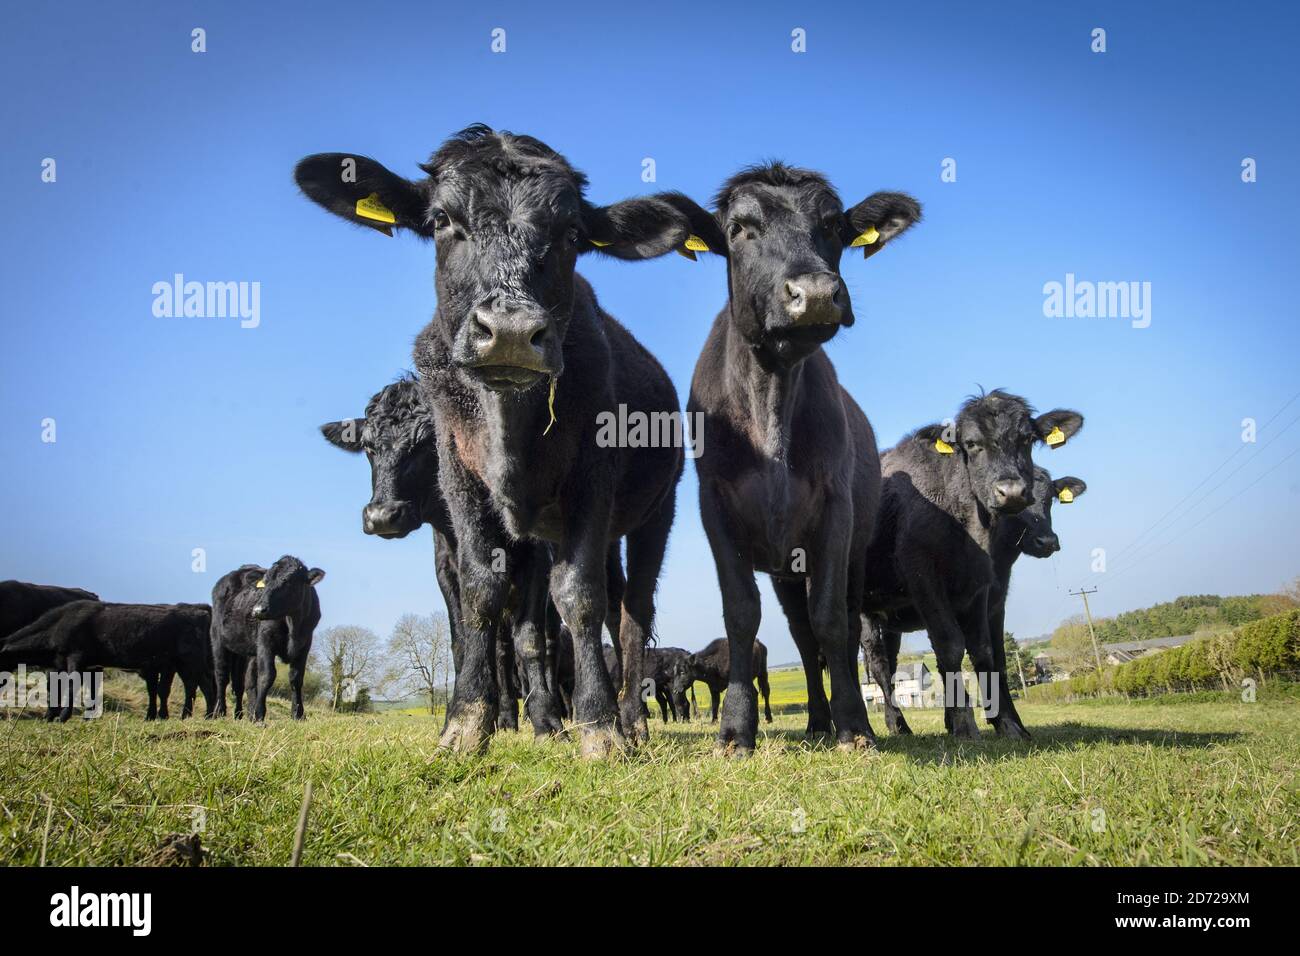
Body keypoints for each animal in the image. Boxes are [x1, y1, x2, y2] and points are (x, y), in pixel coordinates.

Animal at [0, 601, 214, 722]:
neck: (59, 624)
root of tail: (200, 612)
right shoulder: (83, 666)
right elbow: (78, 689)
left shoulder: (76, 659)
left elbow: (72, 687)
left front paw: (62, 716)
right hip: (183, 663)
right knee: (198, 685)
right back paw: (202, 714)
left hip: (188, 661)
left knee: (200, 685)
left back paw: (198, 714)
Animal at [209, 557, 325, 722]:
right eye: (265, 582)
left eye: (288, 581)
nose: (257, 610)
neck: (293, 624)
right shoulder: (265, 640)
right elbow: (267, 675)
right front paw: (259, 715)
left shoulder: (305, 644)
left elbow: (296, 678)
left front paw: (298, 714)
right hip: (217, 638)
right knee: (221, 674)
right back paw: (220, 711)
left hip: (245, 650)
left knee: (243, 681)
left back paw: (241, 714)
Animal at [296, 125, 702, 755]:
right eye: (442, 219)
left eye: (571, 233)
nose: (509, 332)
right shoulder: (462, 492)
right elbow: (479, 599)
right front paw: (467, 721)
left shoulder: (585, 486)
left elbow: (573, 599)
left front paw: (593, 726)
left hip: (657, 510)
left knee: (630, 610)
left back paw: (631, 717)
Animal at [682, 162, 921, 752]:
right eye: (740, 229)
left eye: (833, 225)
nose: (813, 294)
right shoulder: (714, 508)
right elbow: (742, 613)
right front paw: (735, 730)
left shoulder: (835, 514)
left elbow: (831, 618)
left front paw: (854, 725)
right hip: (785, 570)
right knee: (800, 636)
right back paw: (814, 719)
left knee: (838, 630)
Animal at [860, 391, 1084, 738]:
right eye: (972, 443)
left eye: (1027, 439)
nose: (1012, 491)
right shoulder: (924, 579)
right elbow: (950, 646)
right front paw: (964, 724)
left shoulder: (983, 591)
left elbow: (985, 652)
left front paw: (1007, 724)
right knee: (877, 663)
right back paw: (895, 724)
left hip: (889, 617)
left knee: (891, 662)